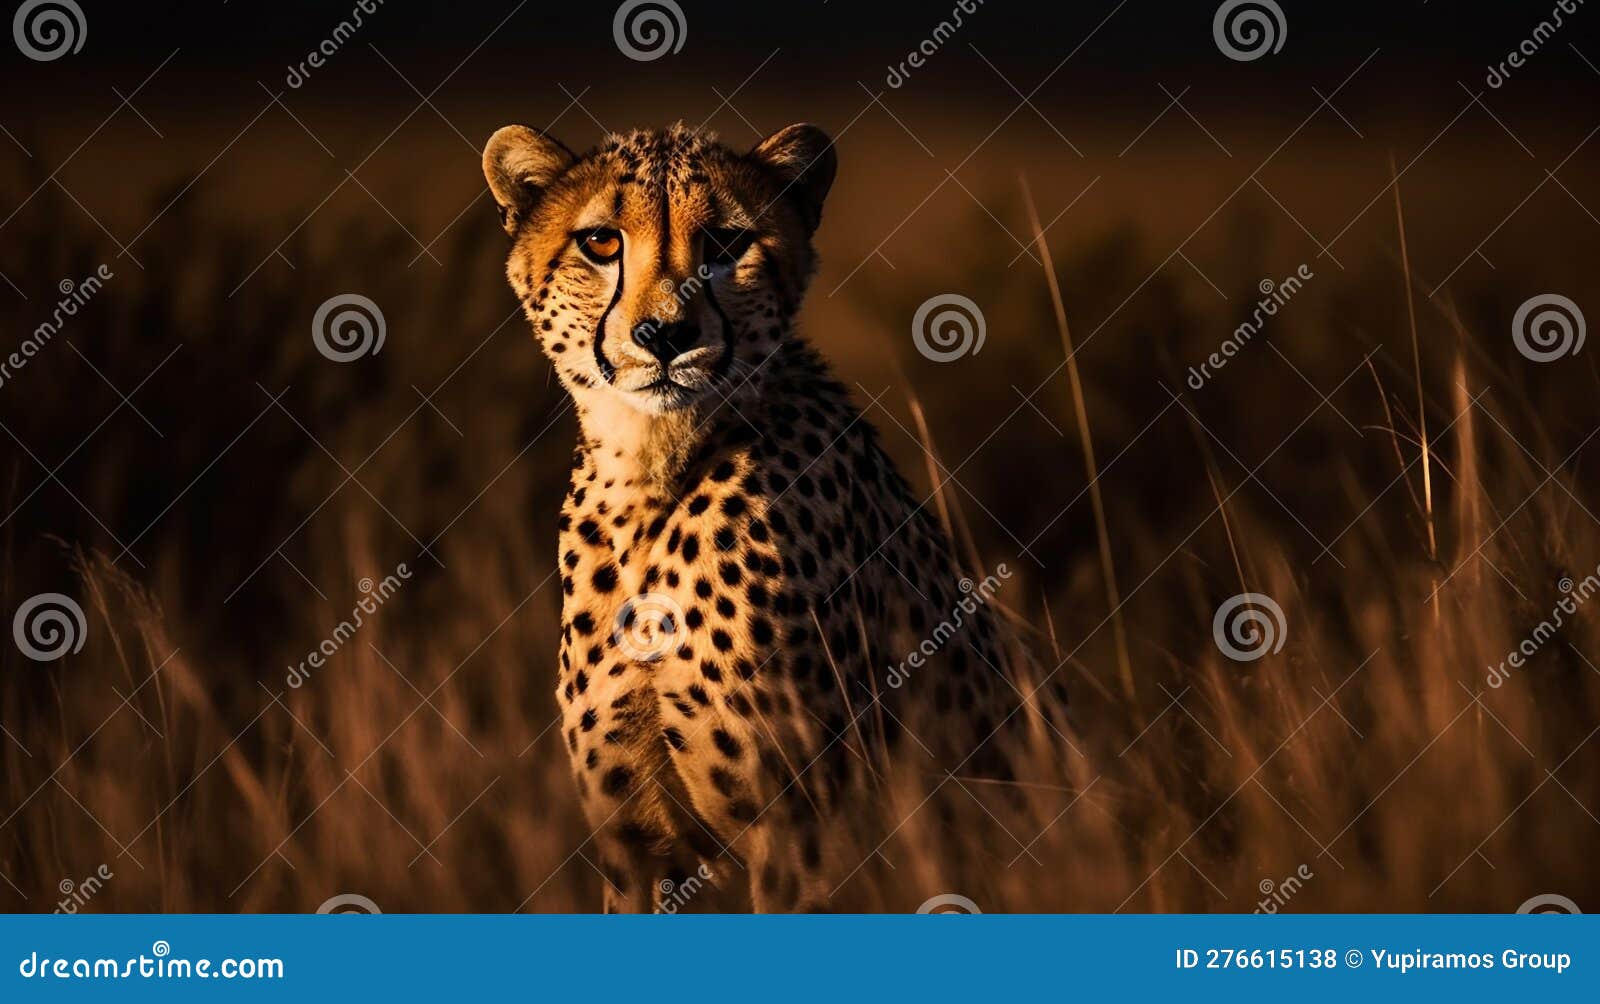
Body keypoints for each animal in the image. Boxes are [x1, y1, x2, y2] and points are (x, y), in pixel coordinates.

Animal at [482, 120, 1034, 912]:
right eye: (601, 242)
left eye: (725, 244)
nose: (664, 334)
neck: (653, 475)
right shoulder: (638, 849)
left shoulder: (800, 831)